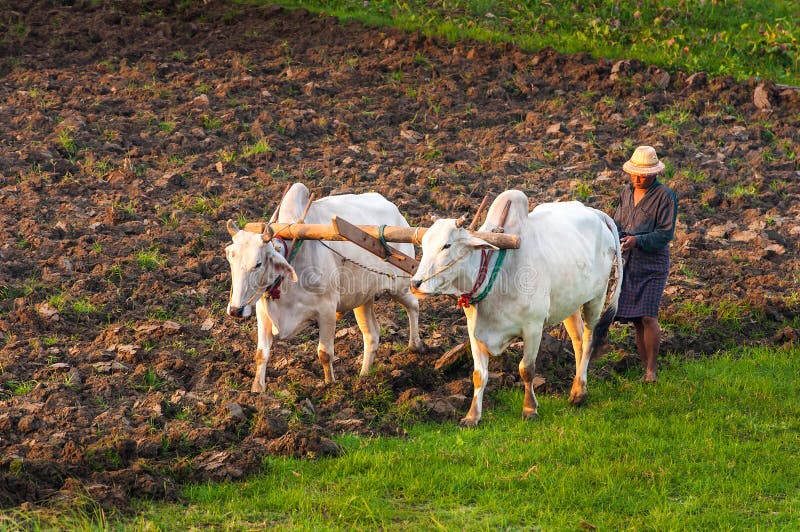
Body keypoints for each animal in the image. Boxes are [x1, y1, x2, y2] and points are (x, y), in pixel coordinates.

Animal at [226, 183, 425, 392]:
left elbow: (324, 353)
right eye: (229, 257)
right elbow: (261, 354)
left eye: (257, 264)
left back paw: (415, 345)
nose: (235, 310)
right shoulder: (262, 312)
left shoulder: (327, 310)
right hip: (362, 298)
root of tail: (394, 210)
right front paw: (257, 390)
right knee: (372, 334)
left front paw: (330, 384)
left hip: (399, 285)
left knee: (413, 305)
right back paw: (364, 376)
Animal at [410, 190, 623, 426]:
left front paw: (530, 408)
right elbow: (478, 375)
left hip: (596, 297)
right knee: (577, 341)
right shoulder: (474, 331)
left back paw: (579, 392)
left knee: (588, 340)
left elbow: (526, 369)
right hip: (570, 302)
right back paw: (576, 387)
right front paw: (472, 415)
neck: (495, 272)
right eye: (423, 244)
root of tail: (595, 212)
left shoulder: (533, 327)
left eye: (446, 245)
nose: (416, 283)